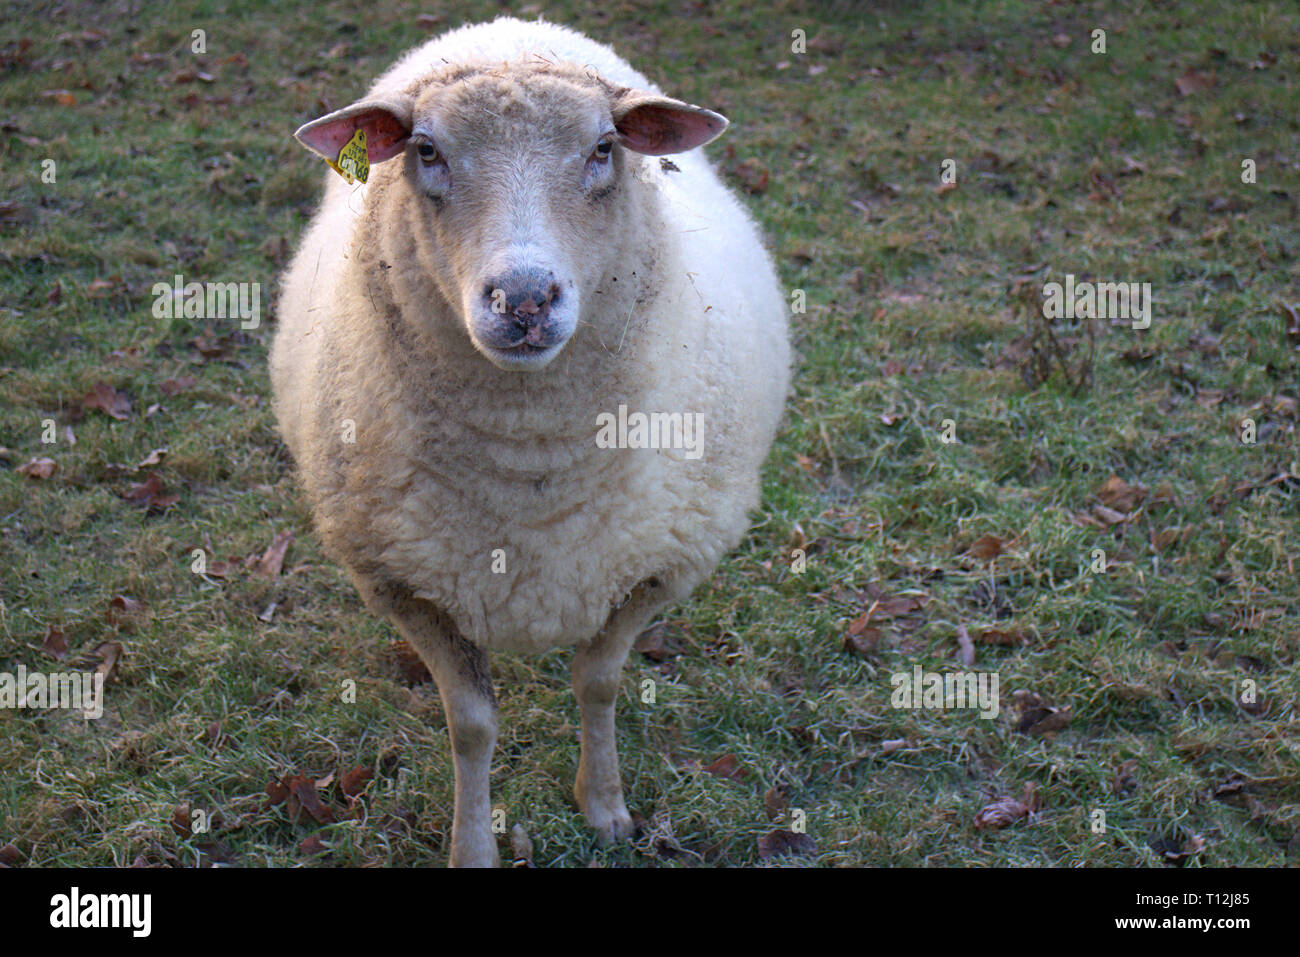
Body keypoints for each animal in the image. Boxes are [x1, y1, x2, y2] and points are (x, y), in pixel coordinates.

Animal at [269, 16, 790, 867]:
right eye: (426, 149)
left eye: (604, 147)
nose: (523, 298)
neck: (528, 461)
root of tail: (510, 26)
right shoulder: (405, 585)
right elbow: (472, 726)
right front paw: (474, 844)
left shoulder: (651, 570)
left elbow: (599, 683)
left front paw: (605, 805)